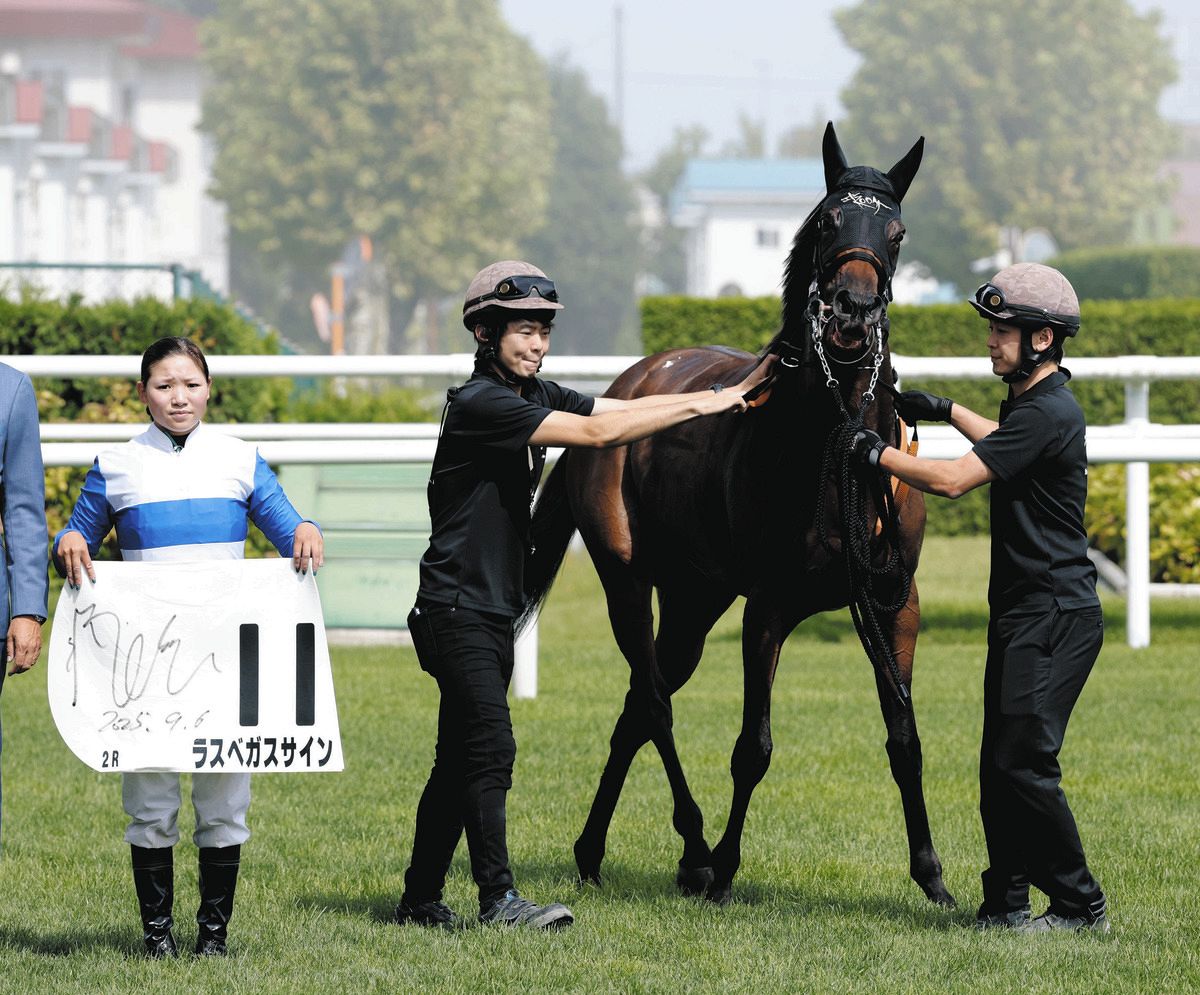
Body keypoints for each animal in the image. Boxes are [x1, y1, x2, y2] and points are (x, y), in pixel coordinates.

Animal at [520, 123, 955, 908]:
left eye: (898, 232)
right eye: (827, 222)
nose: (850, 313)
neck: (834, 446)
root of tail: (618, 391)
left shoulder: (894, 601)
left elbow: (904, 737)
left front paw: (933, 875)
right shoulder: (769, 606)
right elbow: (753, 747)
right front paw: (724, 867)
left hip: (695, 599)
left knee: (636, 707)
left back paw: (592, 850)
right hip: (628, 582)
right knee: (654, 705)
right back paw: (693, 849)